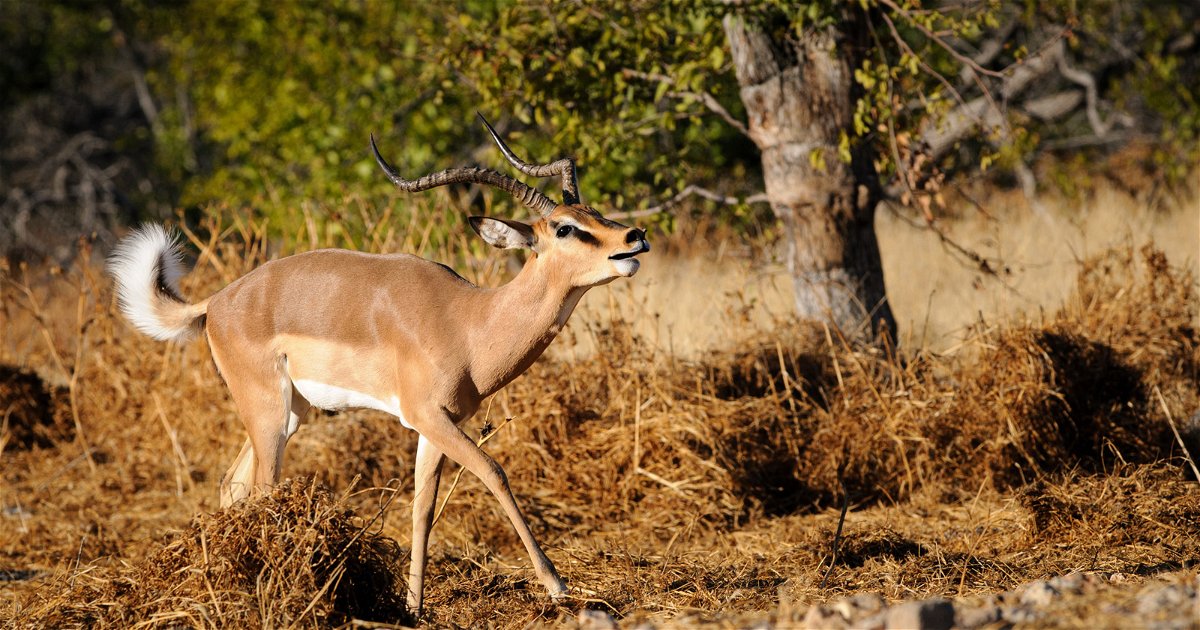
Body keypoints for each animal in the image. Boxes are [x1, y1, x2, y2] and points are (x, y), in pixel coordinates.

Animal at [107, 115, 650, 614]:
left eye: (594, 211)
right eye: (565, 227)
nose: (636, 236)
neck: (469, 321)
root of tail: (215, 303)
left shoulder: (436, 426)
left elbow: (422, 508)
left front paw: (413, 607)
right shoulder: (428, 416)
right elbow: (495, 472)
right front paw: (558, 587)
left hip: (291, 413)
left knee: (233, 485)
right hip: (268, 412)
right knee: (261, 489)